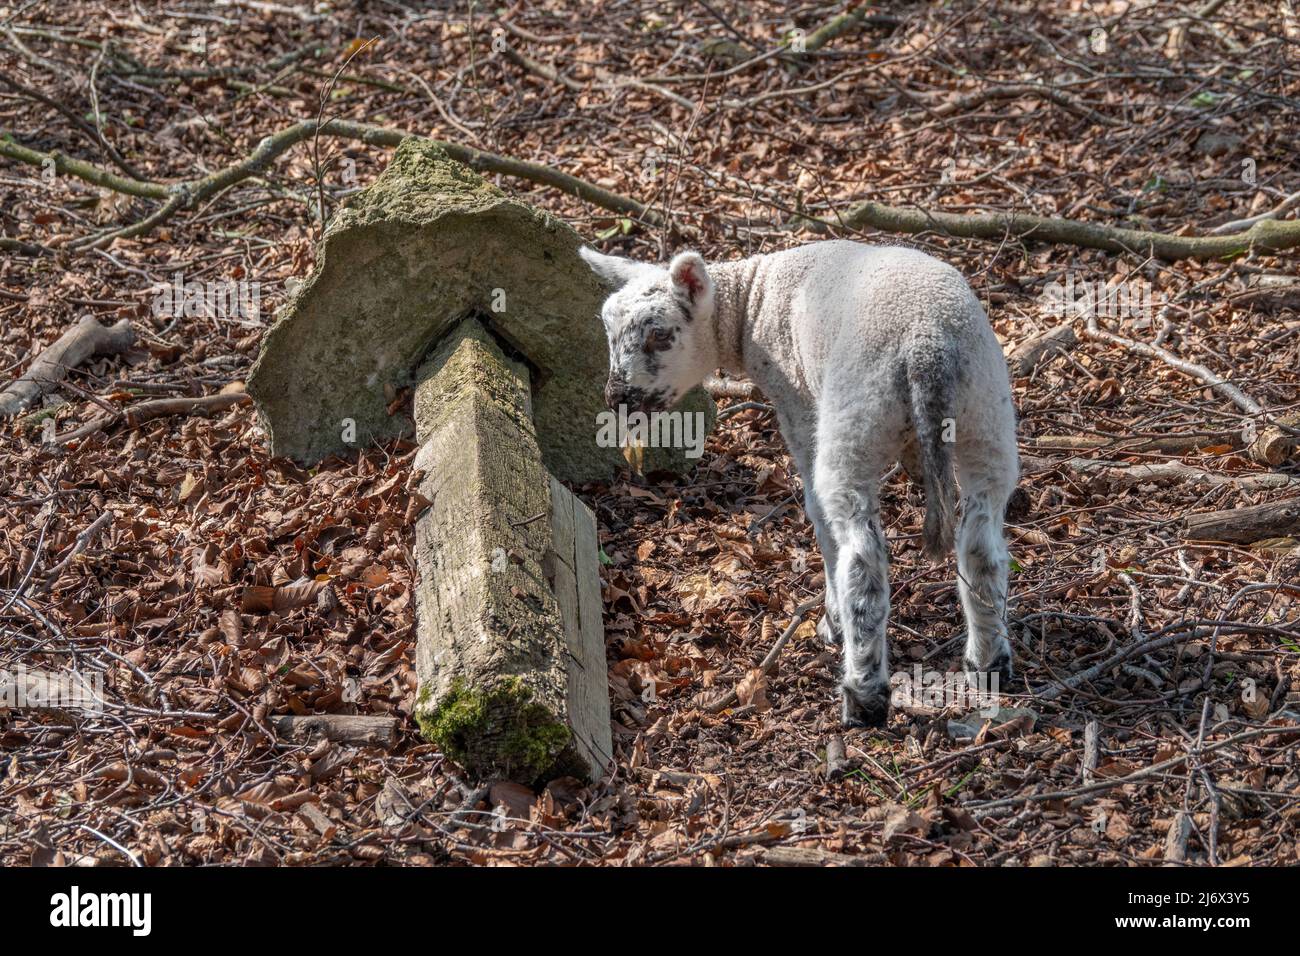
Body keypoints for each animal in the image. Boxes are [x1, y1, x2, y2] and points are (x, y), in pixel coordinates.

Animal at [580, 240, 1019, 727]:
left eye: (659, 334)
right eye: (608, 329)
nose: (617, 398)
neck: (750, 302)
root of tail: (928, 349)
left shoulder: (797, 401)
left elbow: (817, 515)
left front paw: (831, 619)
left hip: (854, 418)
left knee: (861, 557)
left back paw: (863, 693)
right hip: (987, 412)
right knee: (981, 541)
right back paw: (988, 661)